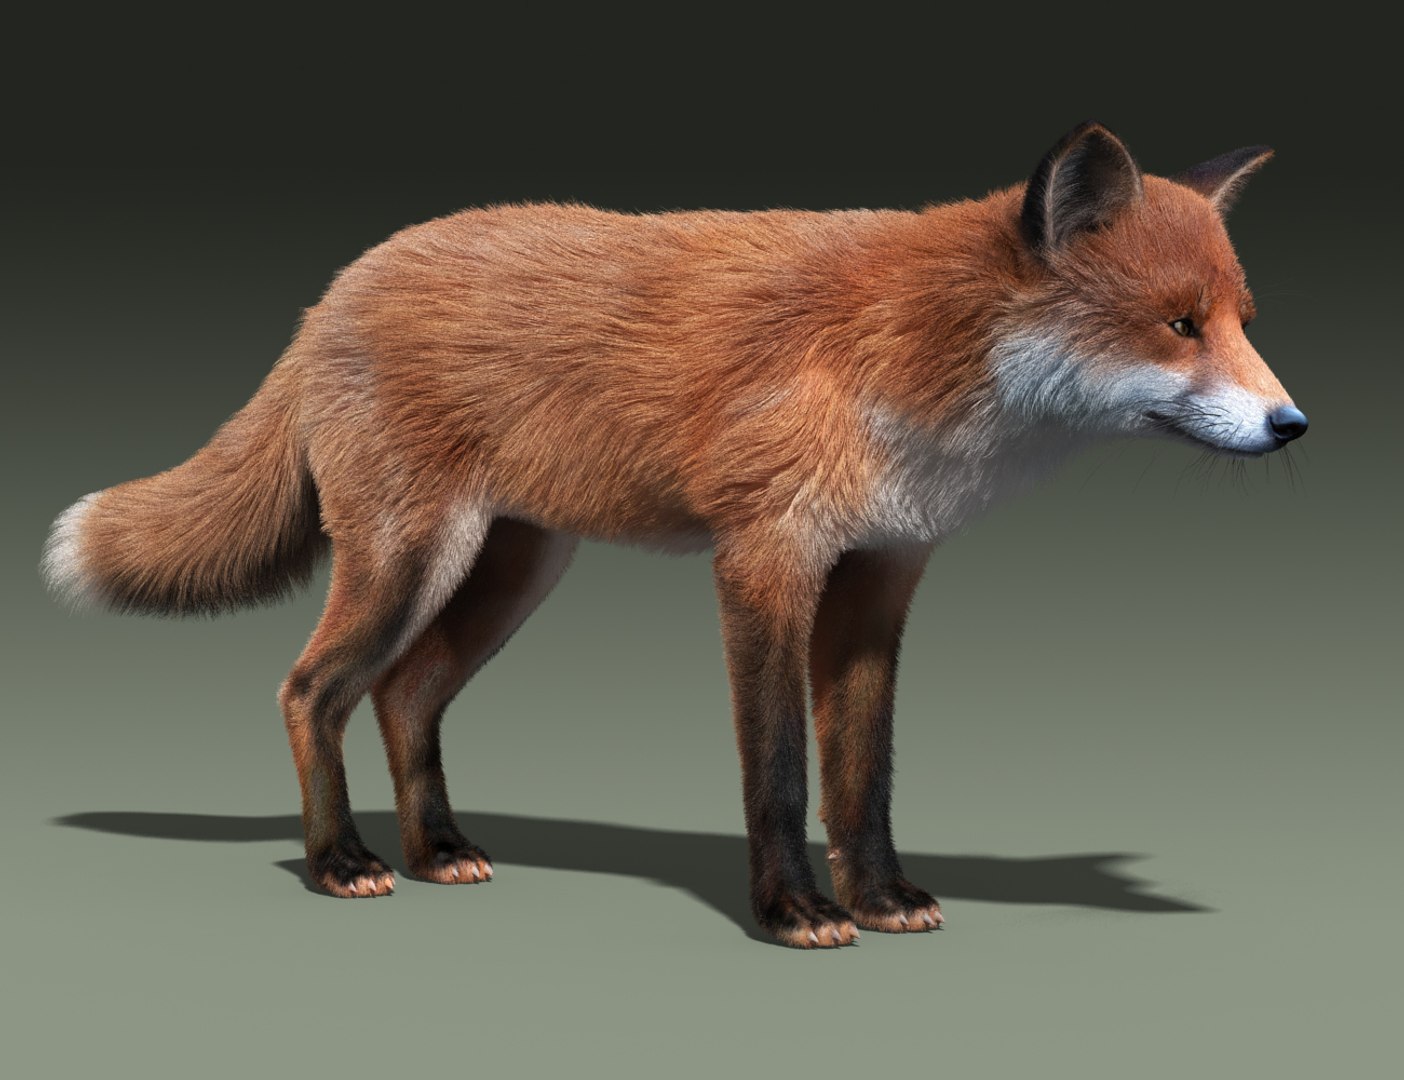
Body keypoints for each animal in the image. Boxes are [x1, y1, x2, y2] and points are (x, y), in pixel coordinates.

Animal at [42, 122, 1305, 948]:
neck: (913, 358)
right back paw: (335, 863)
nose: (1292, 426)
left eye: (1242, 324)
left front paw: (883, 898)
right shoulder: (765, 560)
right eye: (1177, 326)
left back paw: (438, 849)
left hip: (512, 572)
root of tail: (335, 291)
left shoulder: (882, 574)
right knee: (312, 691)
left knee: (404, 696)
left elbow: (864, 775)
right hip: (409, 560)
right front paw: (795, 912)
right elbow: (779, 770)